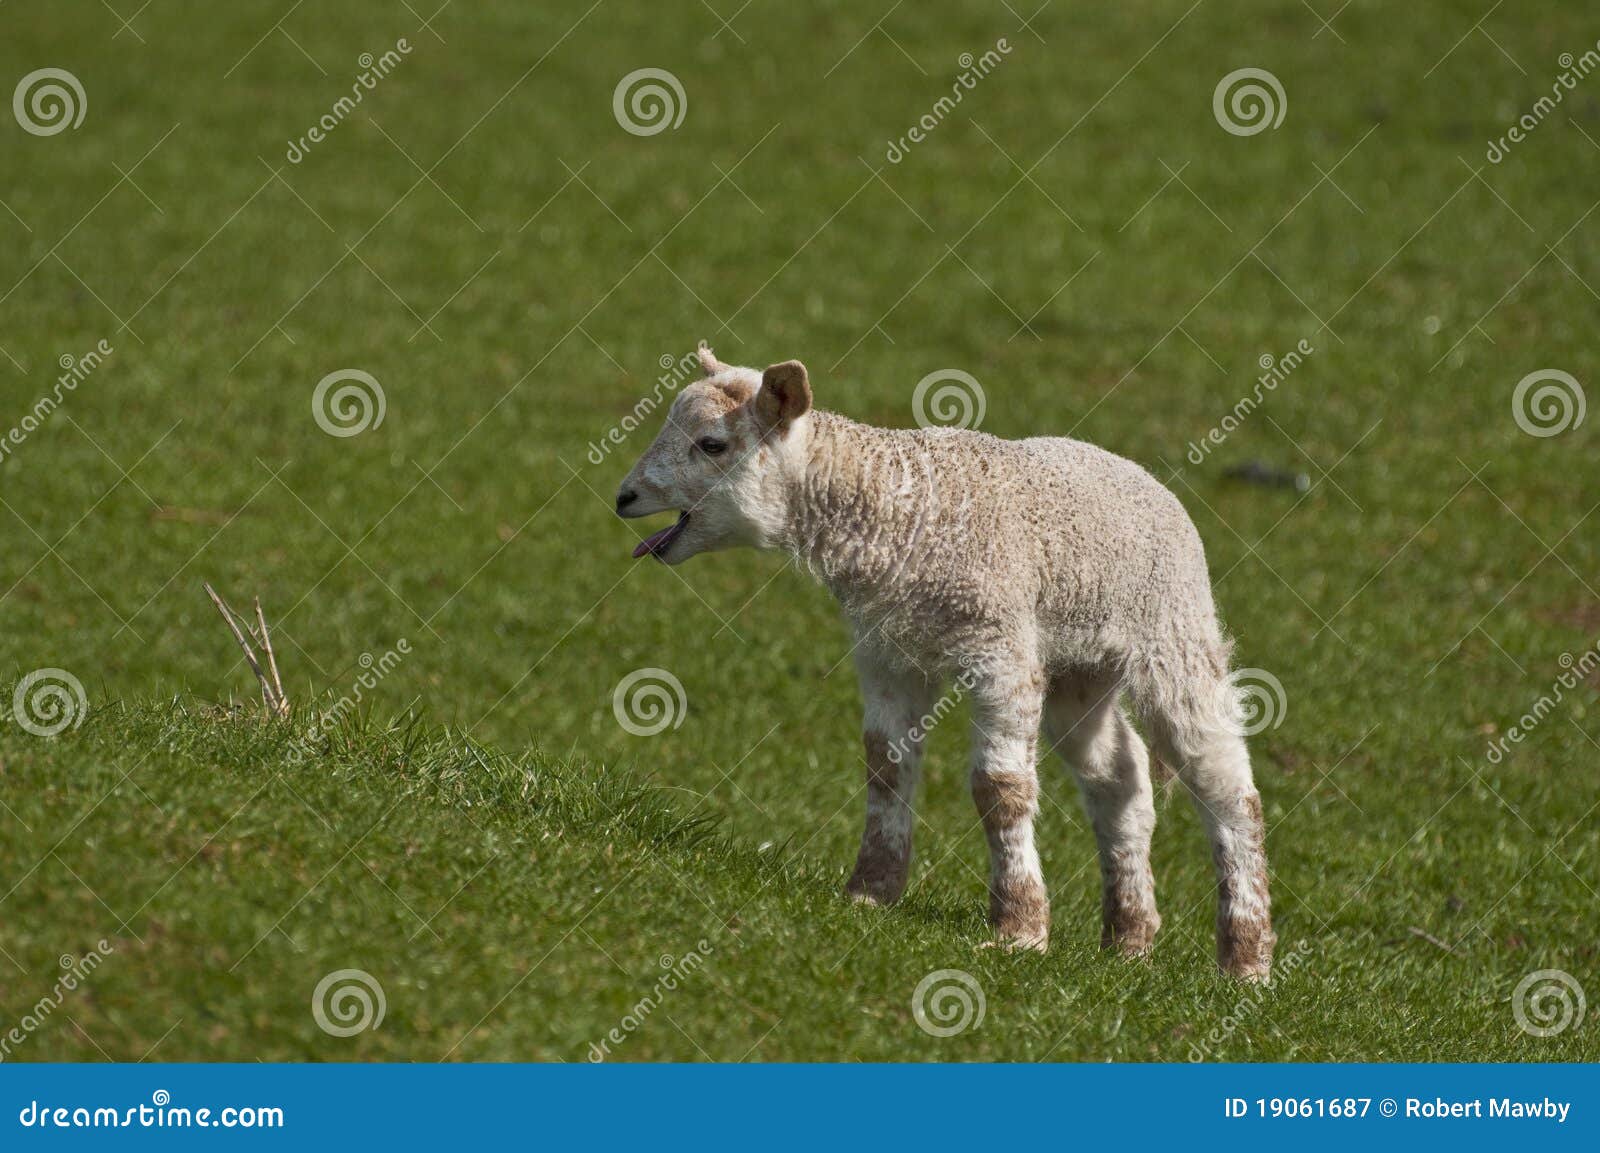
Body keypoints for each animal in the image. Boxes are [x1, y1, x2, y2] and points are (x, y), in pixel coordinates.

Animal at [615, 345, 1275, 979]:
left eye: (712, 444)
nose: (624, 496)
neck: (889, 515)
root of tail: (1145, 478)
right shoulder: (886, 654)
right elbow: (884, 767)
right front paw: (870, 893)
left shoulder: (1001, 649)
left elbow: (1000, 787)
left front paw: (1019, 928)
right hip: (1080, 672)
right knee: (1121, 777)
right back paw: (1130, 939)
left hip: (1174, 634)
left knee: (1224, 780)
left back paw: (1246, 958)